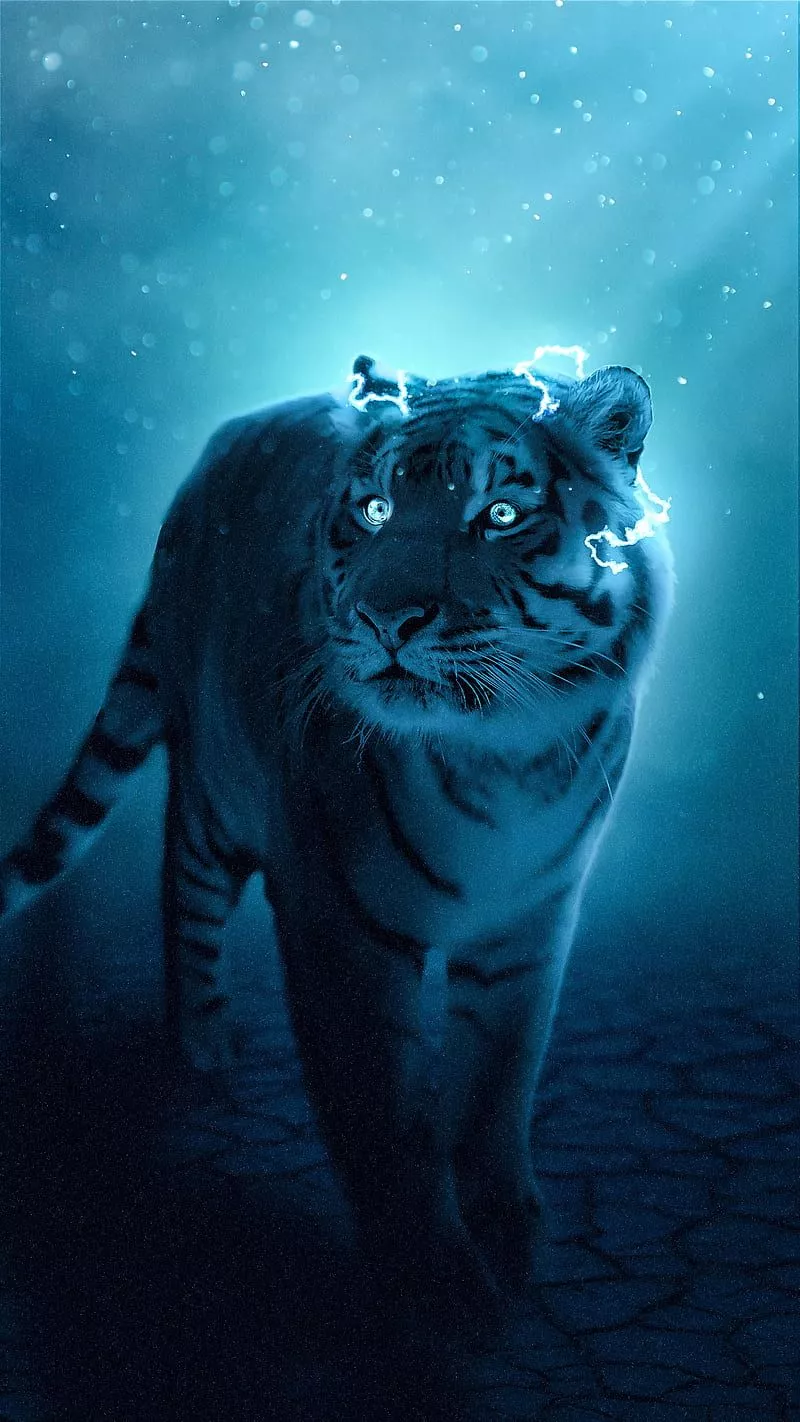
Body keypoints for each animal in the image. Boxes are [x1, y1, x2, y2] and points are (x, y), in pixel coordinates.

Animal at [0, 353, 674, 1309]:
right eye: (377, 510)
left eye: (501, 515)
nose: (386, 620)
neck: (503, 756)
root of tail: (214, 449)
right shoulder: (341, 924)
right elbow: (385, 1110)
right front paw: (435, 1277)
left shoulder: (532, 923)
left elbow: (497, 1083)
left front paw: (507, 1233)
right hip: (215, 789)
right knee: (185, 886)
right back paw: (202, 1045)